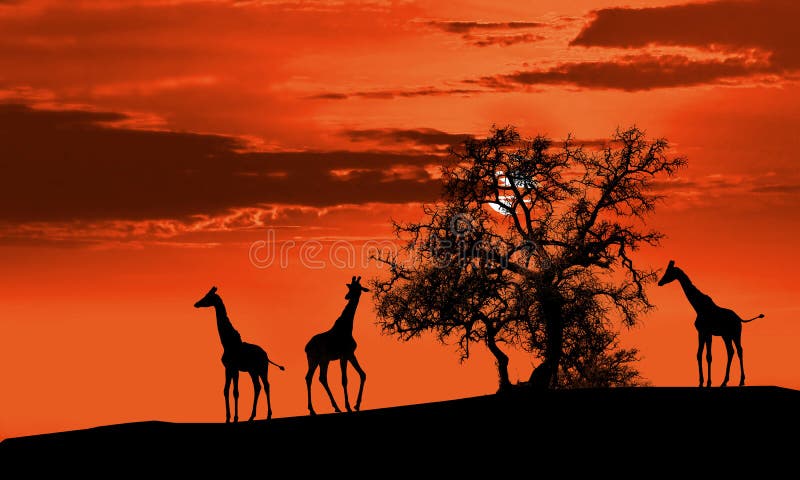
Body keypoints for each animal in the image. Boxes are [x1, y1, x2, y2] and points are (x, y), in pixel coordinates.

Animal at [194, 286, 285, 422]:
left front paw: (236, 417)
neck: (227, 342)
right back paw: (251, 416)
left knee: (266, 386)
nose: (196, 304)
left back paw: (268, 414)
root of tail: (266, 356)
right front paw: (227, 417)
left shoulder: (235, 368)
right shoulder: (228, 368)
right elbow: (226, 390)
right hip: (253, 371)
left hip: (262, 369)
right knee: (257, 387)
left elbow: (235, 392)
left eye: (208, 296)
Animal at [305, 276, 369, 415]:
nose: (347, 296)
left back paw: (334, 407)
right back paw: (313, 410)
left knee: (319, 378)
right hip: (316, 360)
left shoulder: (350, 354)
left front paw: (357, 405)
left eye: (357, 288)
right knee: (311, 378)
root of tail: (306, 347)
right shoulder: (344, 355)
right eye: (350, 287)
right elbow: (344, 380)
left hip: (323, 360)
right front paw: (348, 406)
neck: (347, 326)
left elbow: (363, 374)